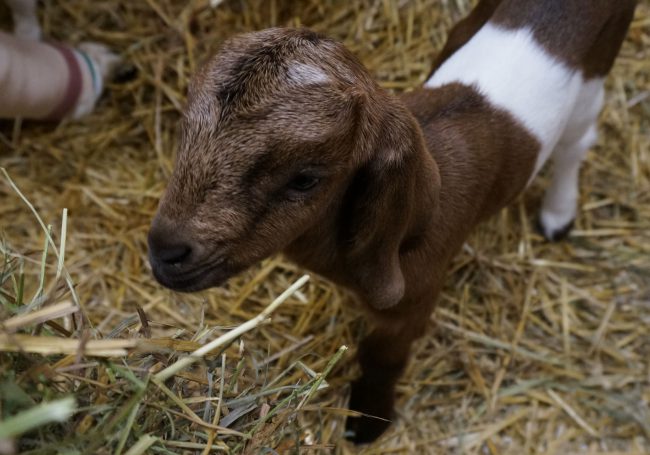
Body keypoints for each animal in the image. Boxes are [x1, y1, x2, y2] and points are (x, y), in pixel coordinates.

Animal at [148, 0, 636, 444]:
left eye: (305, 179)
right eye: (183, 131)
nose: (165, 251)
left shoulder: (414, 297)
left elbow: (380, 356)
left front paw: (368, 422)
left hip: (597, 70)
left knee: (577, 141)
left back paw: (558, 214)